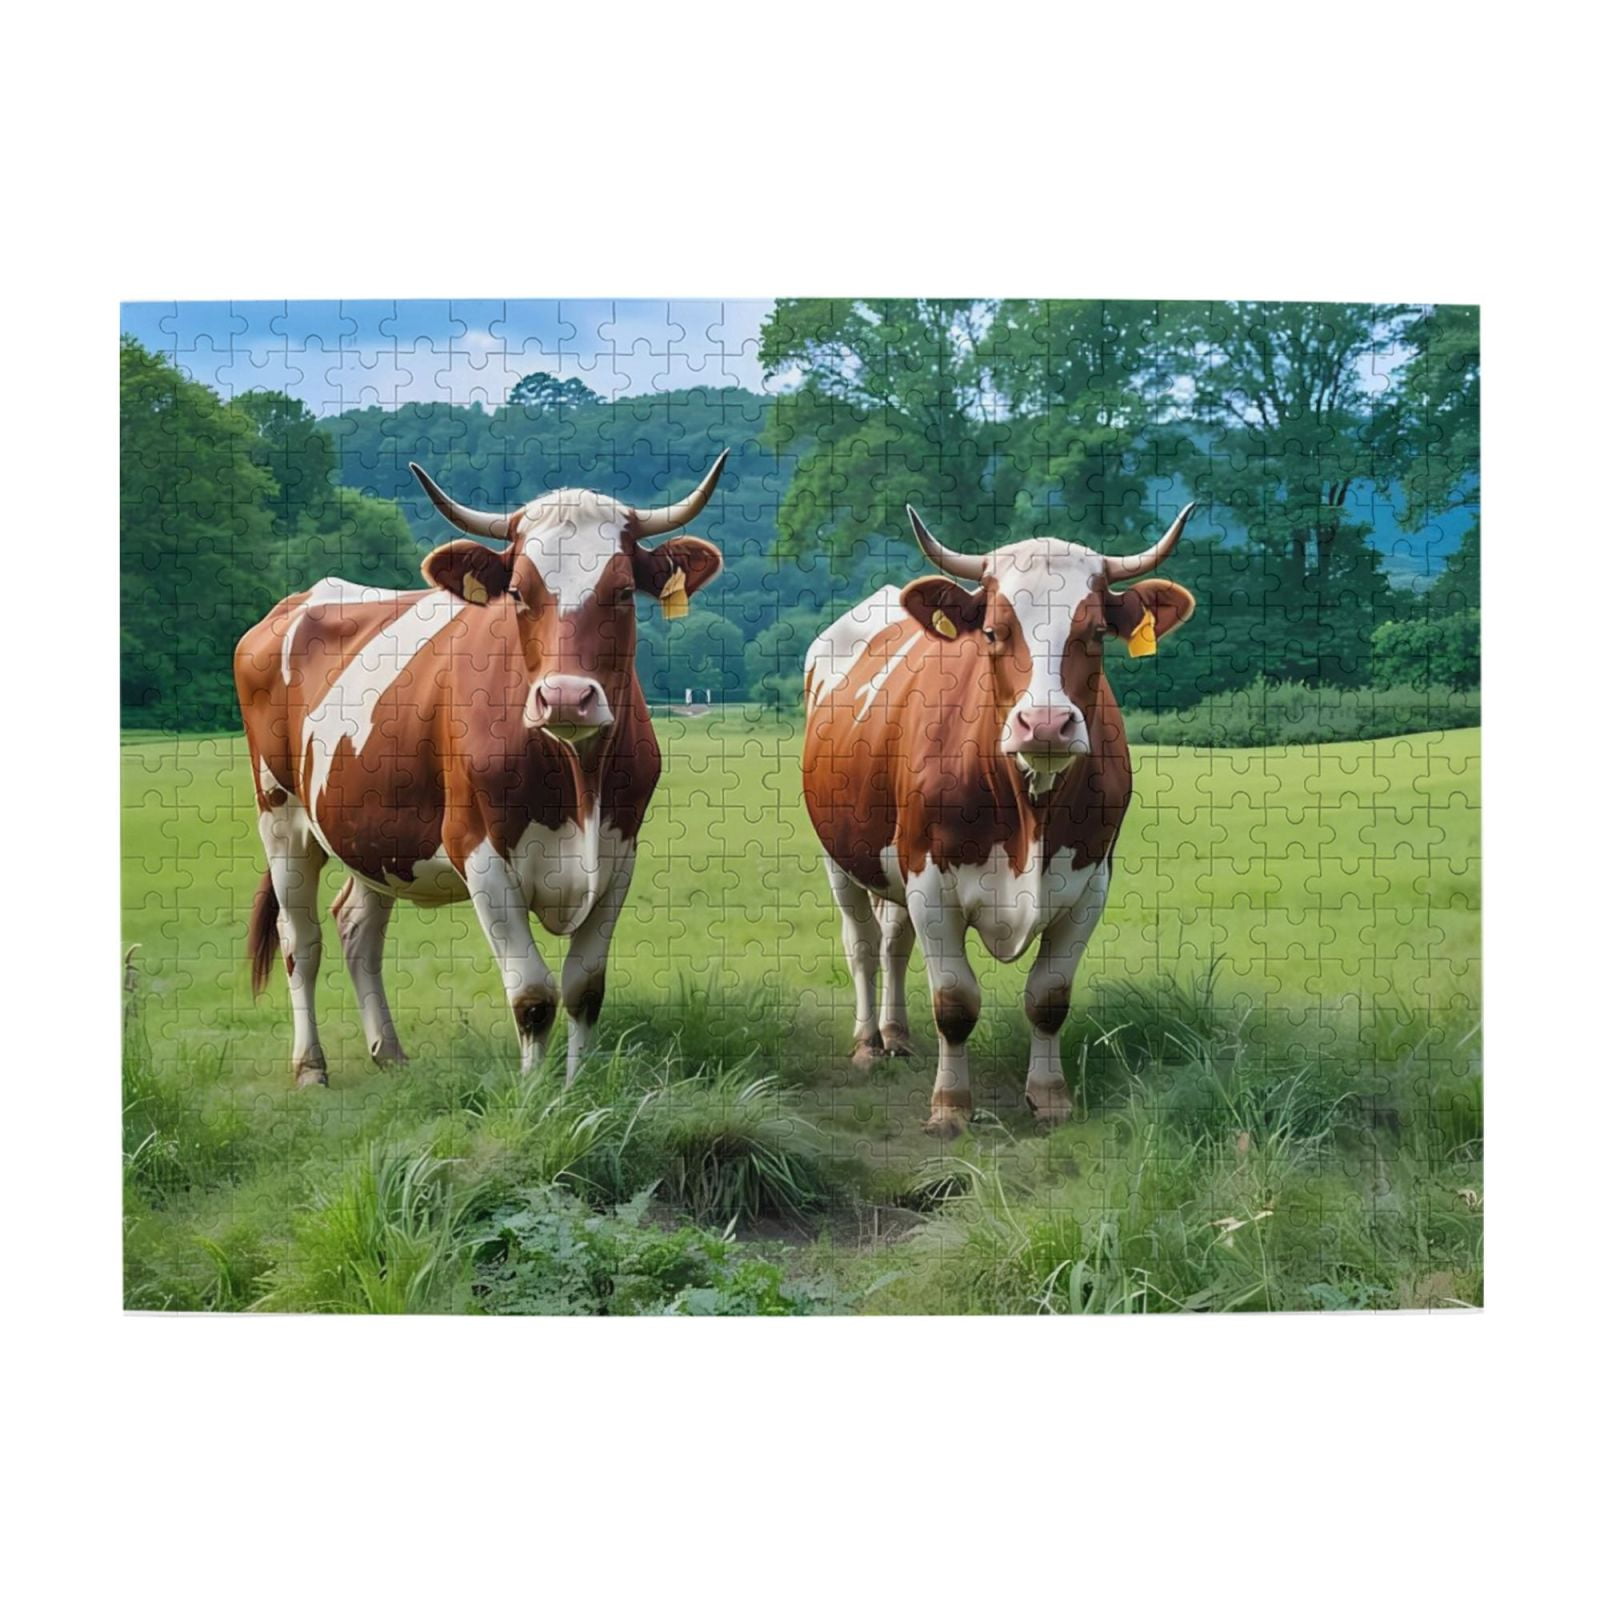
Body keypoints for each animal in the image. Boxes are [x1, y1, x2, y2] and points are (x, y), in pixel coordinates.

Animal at [234, 453, 728, 1087]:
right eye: (517, 591)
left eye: (621, 591)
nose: (565, 698)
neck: (577, 779)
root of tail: (300, 601)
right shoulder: (481, 855)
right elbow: (533, 995)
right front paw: (535, 1096)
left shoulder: (620, 853)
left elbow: (584, 989)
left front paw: (578, 1088)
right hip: (280, 815)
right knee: (301, 938)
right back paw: (310, 1066)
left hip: (372, 832)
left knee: (357, 929)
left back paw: (389, 1051)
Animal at [801, 503, 1197, 1136]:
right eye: (992, 631)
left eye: (1096, 632)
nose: (1046, 724)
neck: (1028, 809)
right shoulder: (930, 882)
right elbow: (955, 1001)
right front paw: (950, 1105)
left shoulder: (1089, 884)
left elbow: (1049, 997)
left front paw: (1050, 1095)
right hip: (841, 856)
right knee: (861, 944)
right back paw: (868, 1043)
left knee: (893, 943)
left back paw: (896, 1034)